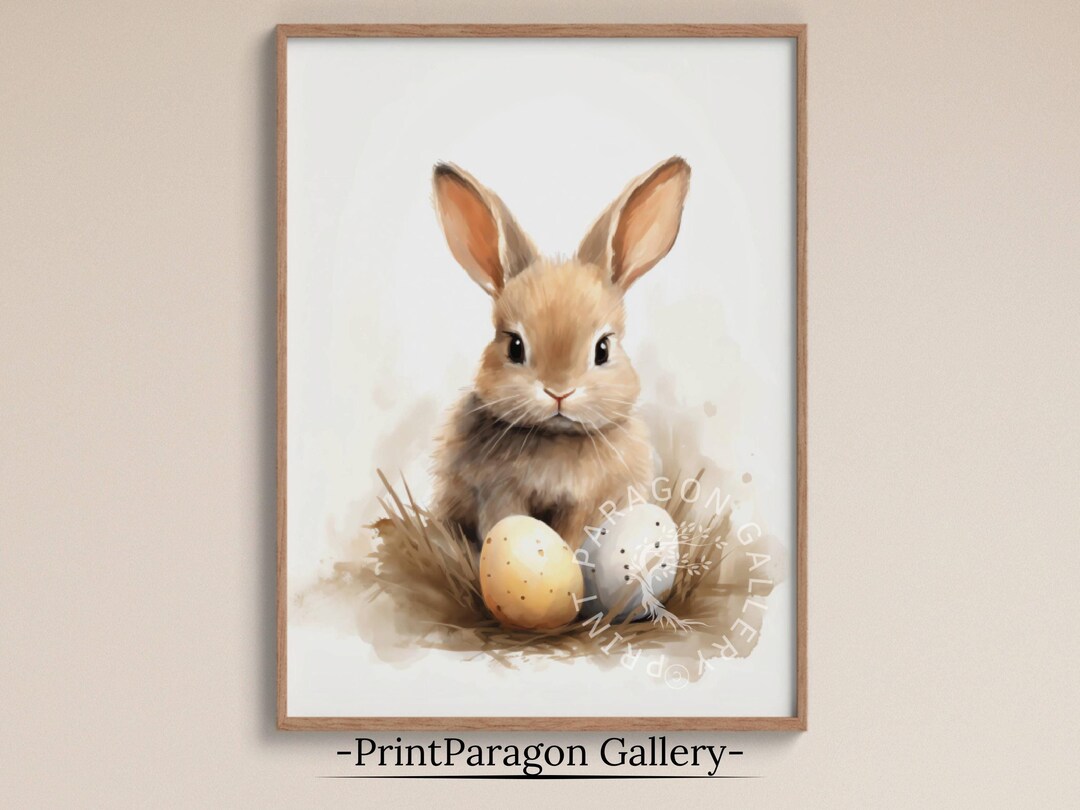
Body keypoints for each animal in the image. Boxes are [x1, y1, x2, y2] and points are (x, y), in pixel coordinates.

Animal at [429, 157, 691, 550]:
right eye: (514, 346)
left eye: (603, 349)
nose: (558, 392)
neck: (556, 436)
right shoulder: (496, 492)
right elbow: (505, 523)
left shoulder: (588, 502)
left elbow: (571, 535)